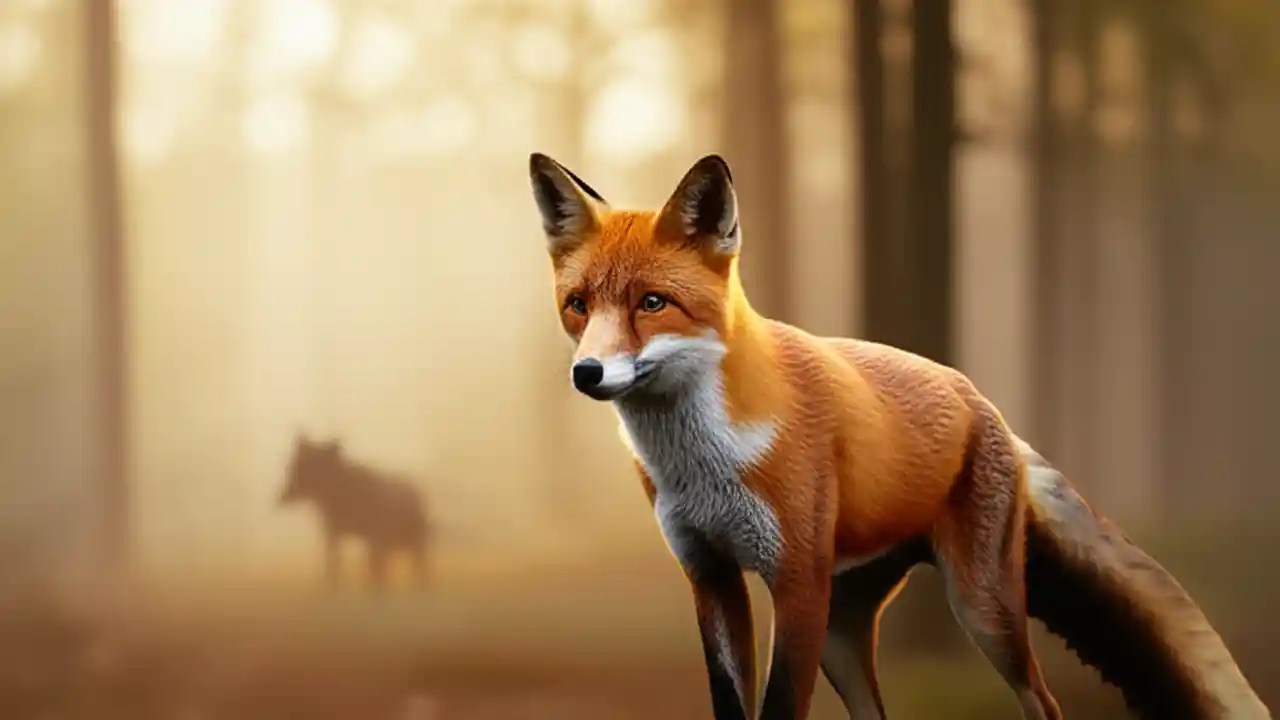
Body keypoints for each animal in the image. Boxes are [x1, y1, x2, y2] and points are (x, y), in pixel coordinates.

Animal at [279, 434, 431, 590]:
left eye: (306, 466)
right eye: (293, 465)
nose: (282, 496)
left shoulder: (373, 538)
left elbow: (372, 571)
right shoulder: (335, 533)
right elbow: (334, 566)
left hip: (414, 542)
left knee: (419, 568)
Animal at [527, 153, 1270, 720]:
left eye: (652, 303)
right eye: (578, 305)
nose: (587, 373)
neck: (700, 460)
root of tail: (980, 398)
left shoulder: (794, 583)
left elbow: (778, 710)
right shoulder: (711, 576)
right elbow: (729, 705)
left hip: (980, 608)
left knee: (1043, 702)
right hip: (844, 635)